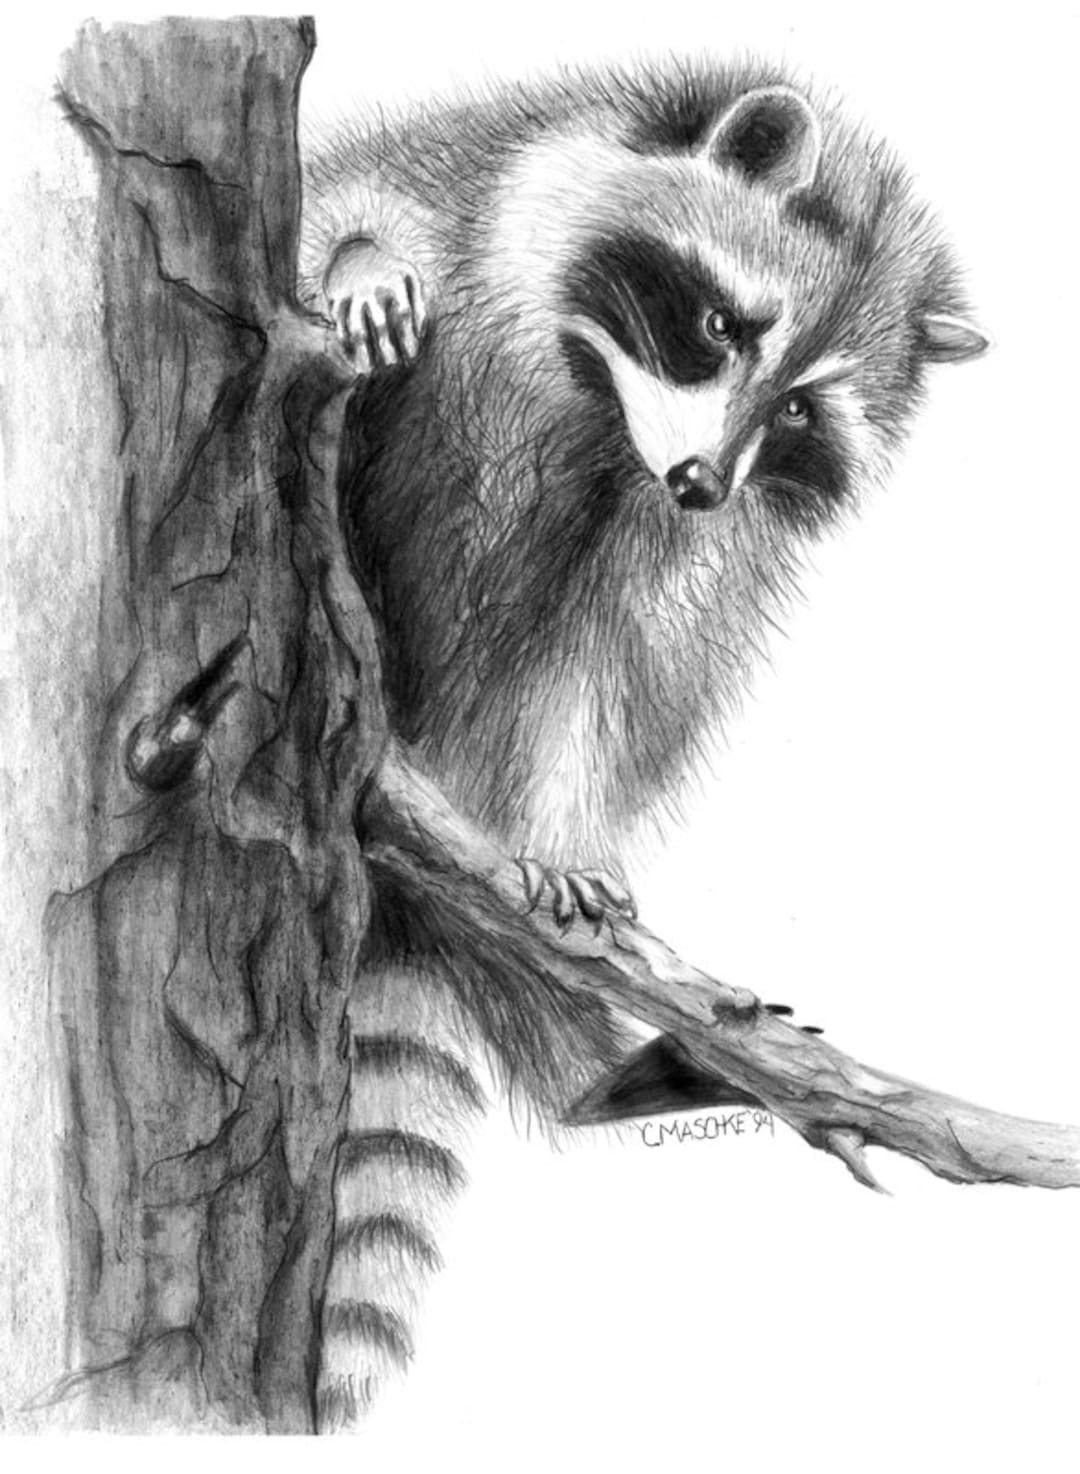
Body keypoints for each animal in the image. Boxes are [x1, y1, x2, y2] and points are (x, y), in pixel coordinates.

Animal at [300, 57, 985, 1430]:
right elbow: (337, 212)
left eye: (798, 412)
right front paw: (357, 260)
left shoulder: (657, 529)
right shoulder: (457, 185)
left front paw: (563, 830)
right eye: (723, 327)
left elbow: (606, 662)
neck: (588, 381)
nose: (703, 483)